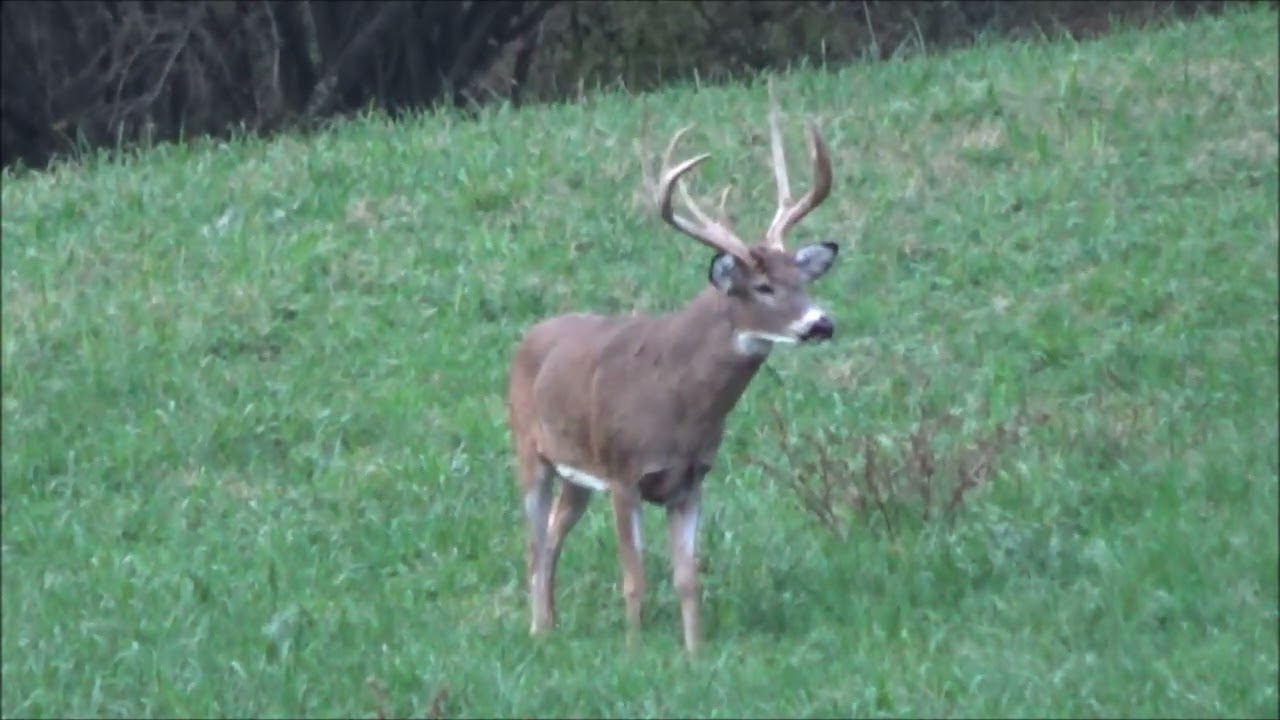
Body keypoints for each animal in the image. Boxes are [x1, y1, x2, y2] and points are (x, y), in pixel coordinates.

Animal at [506, 79, 840, 656]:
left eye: (801, 279)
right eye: (762, 286)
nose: (821, 323)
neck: (680, 405)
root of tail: (529, 337)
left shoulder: (691, 478)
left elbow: (687, 576)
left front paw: (694, 654)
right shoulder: (624, 473)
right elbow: (634, 577)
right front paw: (634, 652)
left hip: (577, 469)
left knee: (553, 531)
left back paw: (551, 623)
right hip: (530, 449)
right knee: (534, 539)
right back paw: (538, 630)